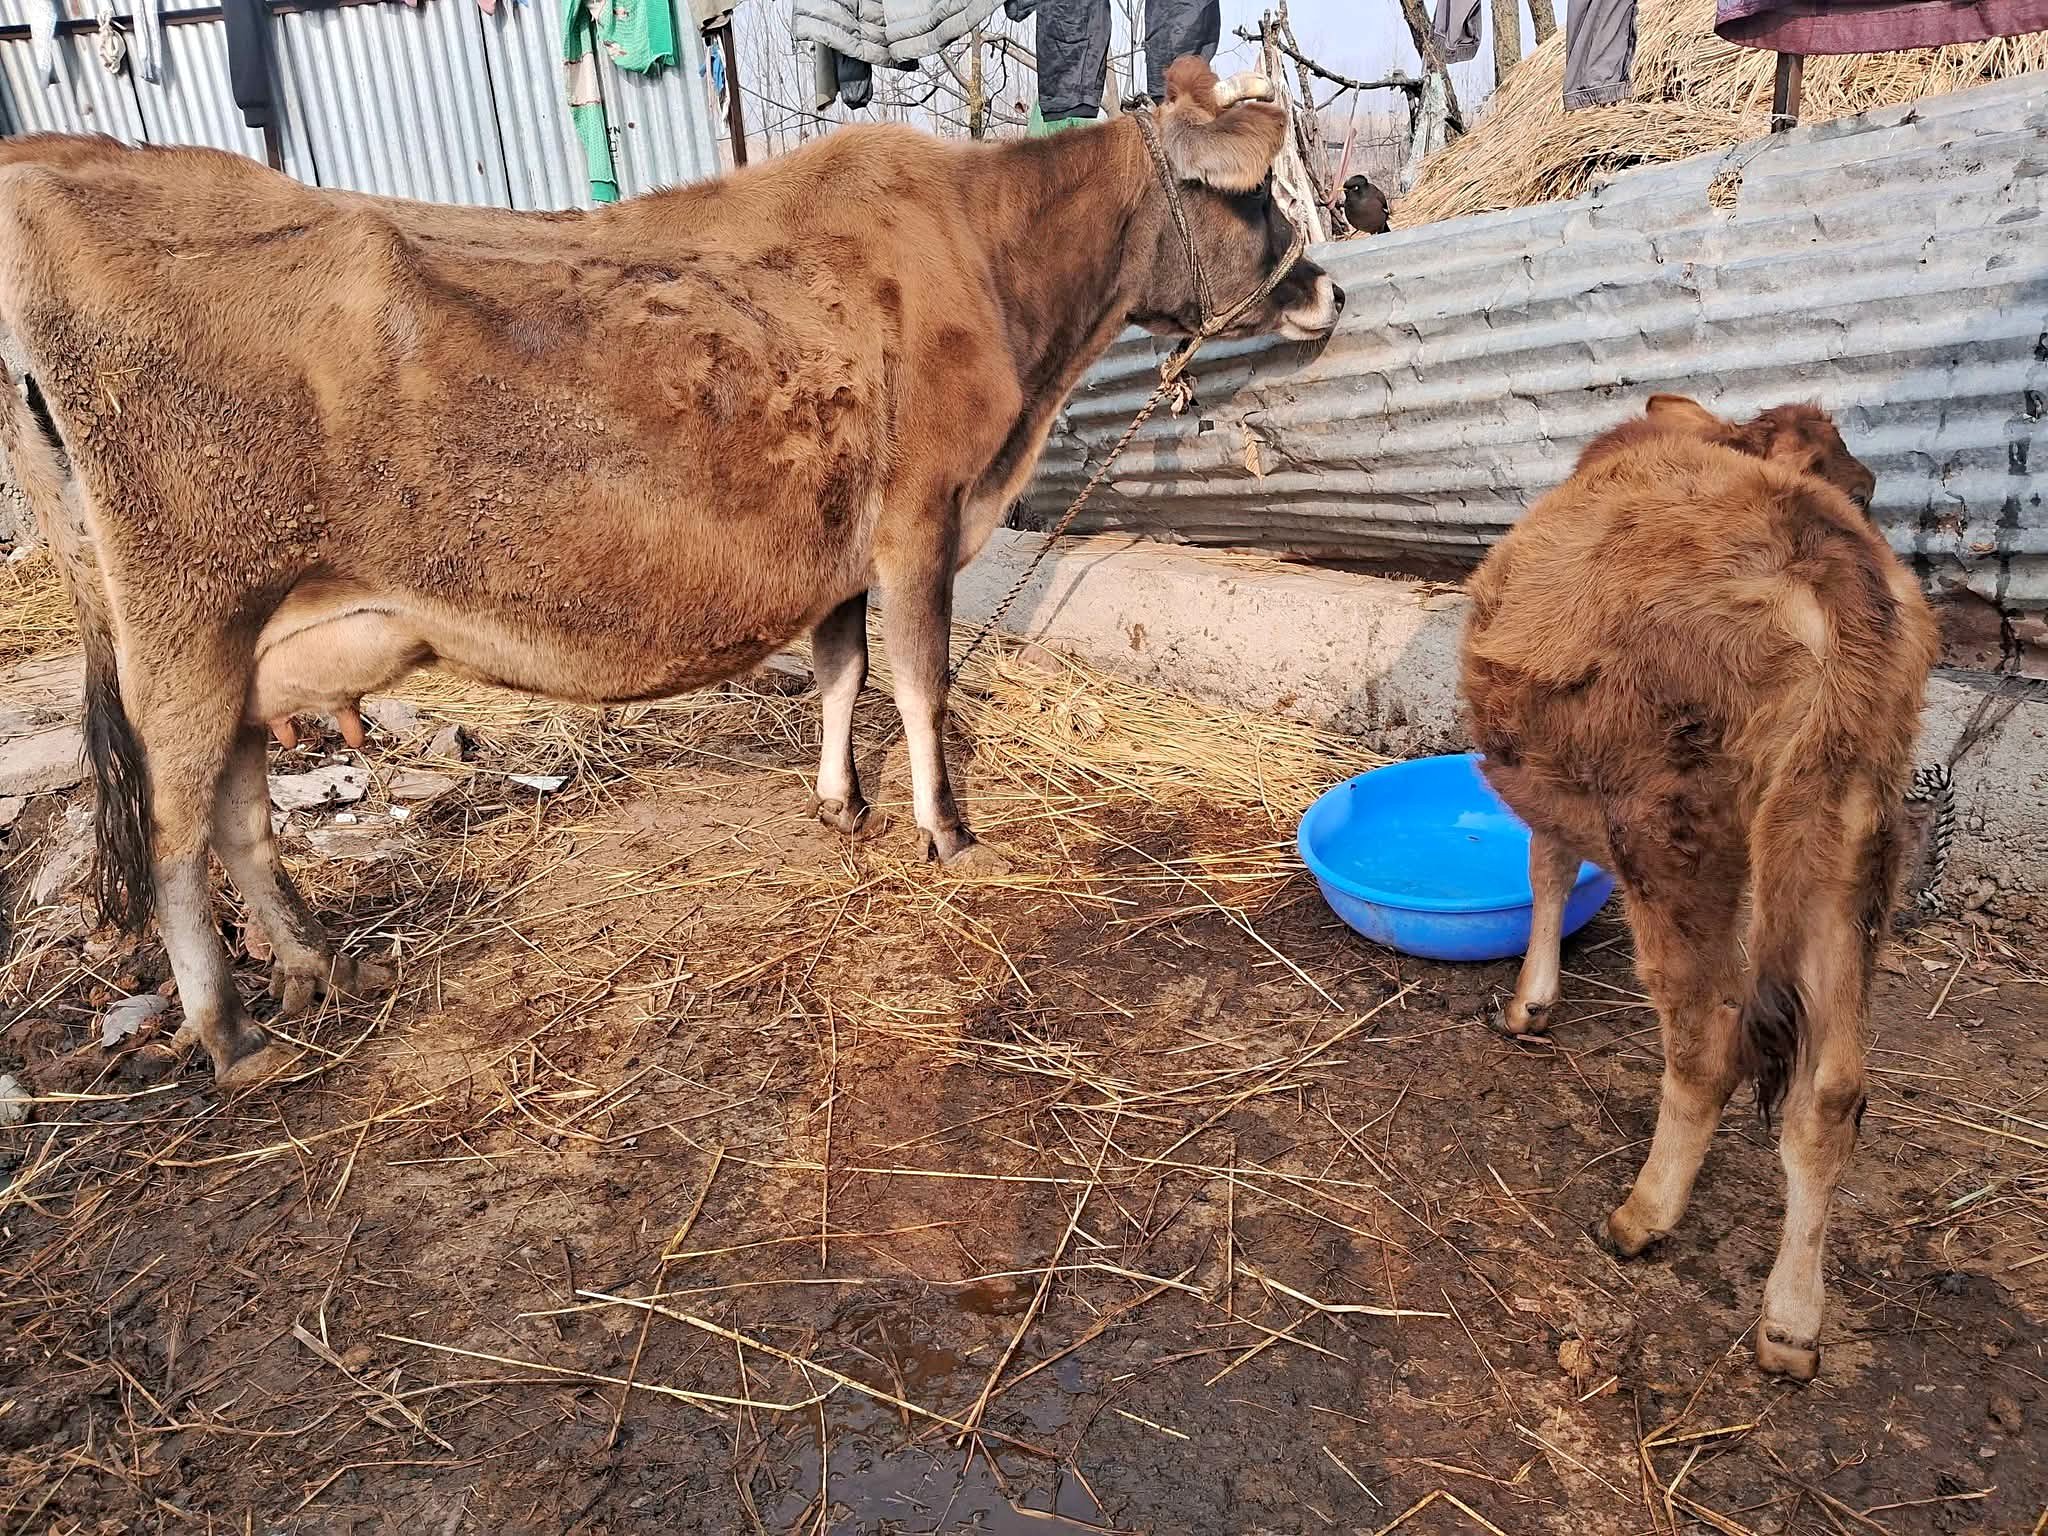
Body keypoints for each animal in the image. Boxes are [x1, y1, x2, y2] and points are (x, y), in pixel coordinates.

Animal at [0, 58, 1343, 1088]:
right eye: (1257, 200)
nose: (1329, 291)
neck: (992, 270)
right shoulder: (919, 518)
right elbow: (920, 682)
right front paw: (945, 830)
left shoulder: (839, 547)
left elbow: (841, 673)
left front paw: (839, 804)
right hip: (186, 619)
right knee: (175, 829)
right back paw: (231, 1036)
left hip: (235, 639)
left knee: (236, 810)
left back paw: (313, 962)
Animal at [1460, 395, 1937, 1379]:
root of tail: (1820, 556)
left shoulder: (1557, 787)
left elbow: (1546, 870)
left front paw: (1529, 1005)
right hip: (1844, 833)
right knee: (1833, 1087)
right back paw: (1790, 1322)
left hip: (1674, 830)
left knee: (1708, 1038)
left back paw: (1641, 1215)